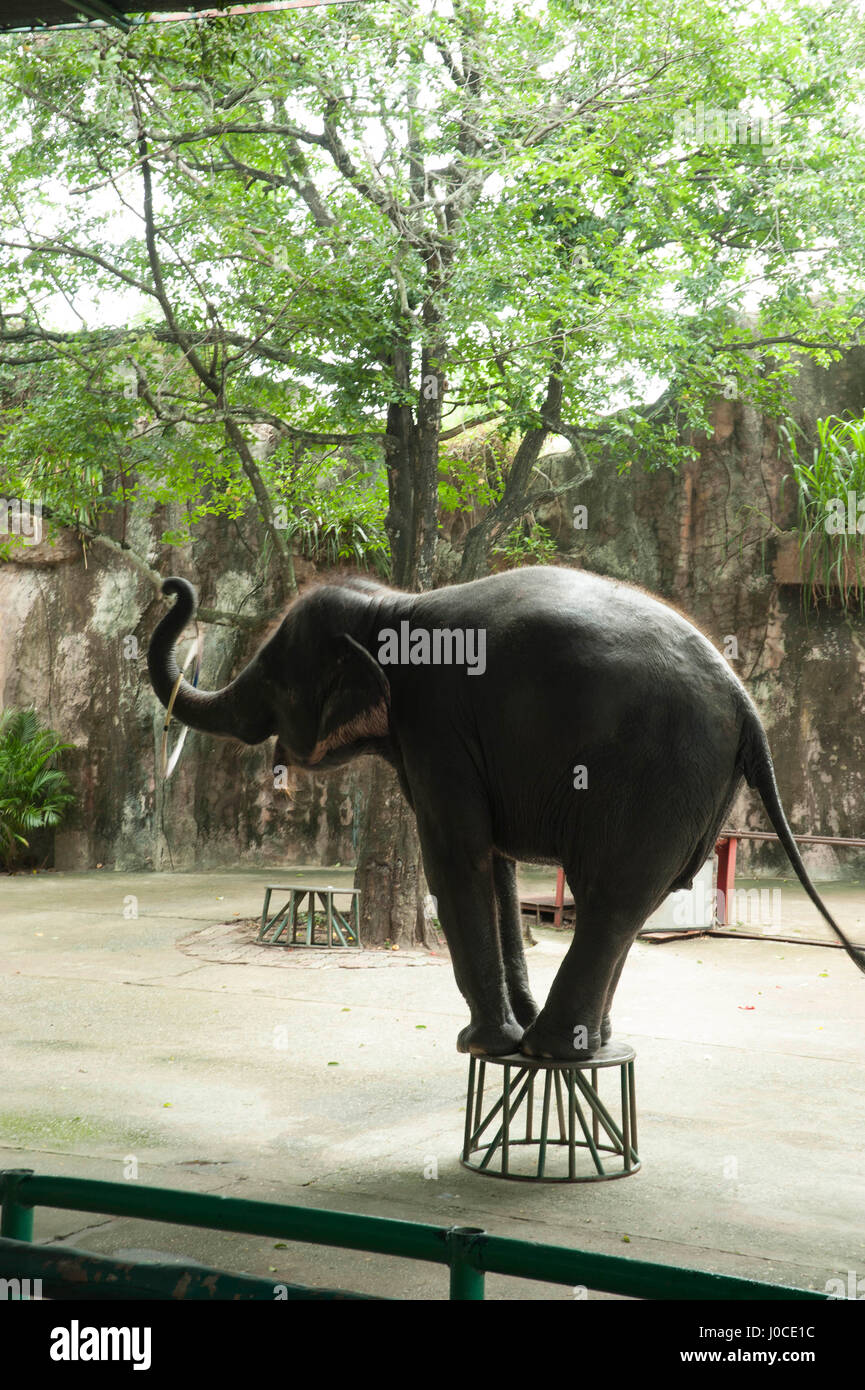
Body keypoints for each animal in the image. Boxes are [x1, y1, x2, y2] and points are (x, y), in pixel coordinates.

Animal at [147, 567, 864, 1060]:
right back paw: (583, 1044)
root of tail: (746, 705)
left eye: (273, 679)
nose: (169, 585)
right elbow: (493, 863)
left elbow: (456, 857)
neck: (390, 603)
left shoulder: (436, 726)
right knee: (629, 901)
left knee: (611, 895)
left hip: (659, 776)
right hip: (691, 790)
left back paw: (550, 1049)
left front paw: (482, 1044)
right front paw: (506, 1035)